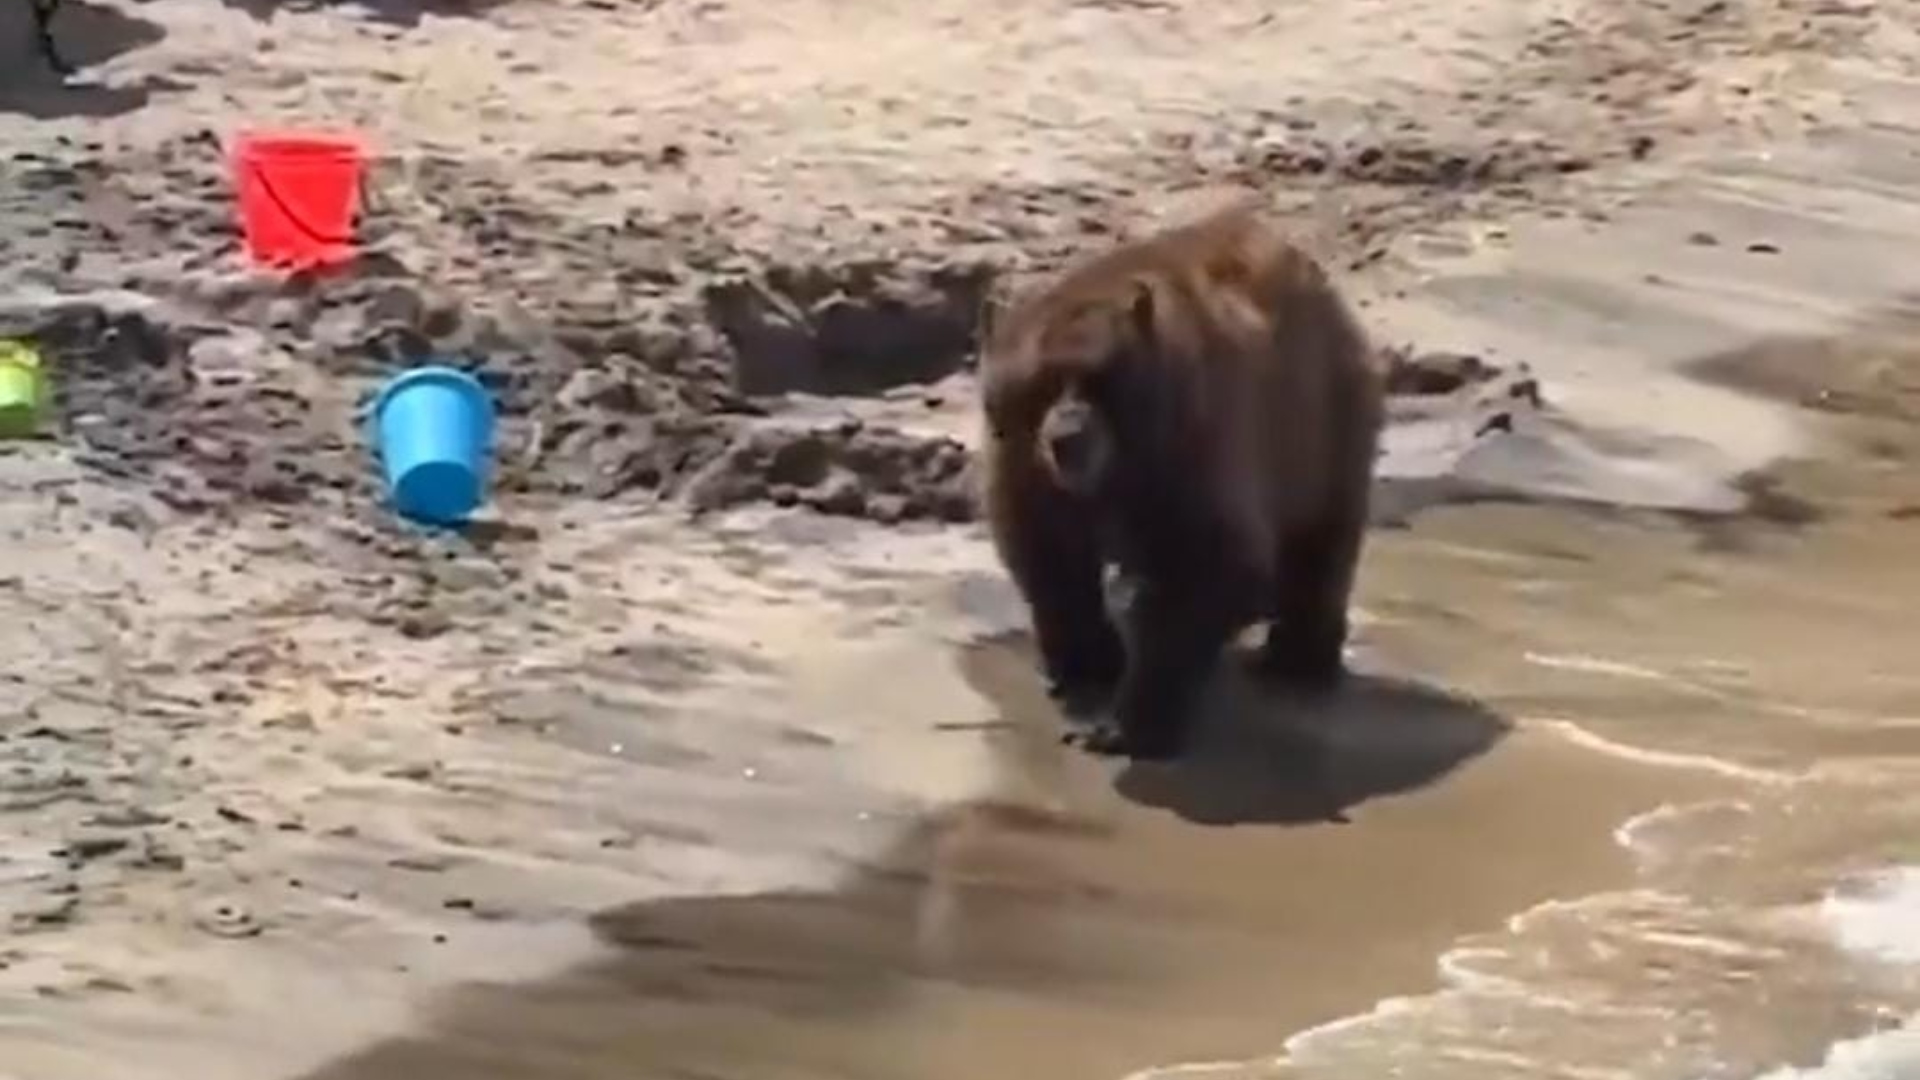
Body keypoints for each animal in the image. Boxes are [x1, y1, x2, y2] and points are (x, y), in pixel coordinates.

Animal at [976, 191, 1387, 759]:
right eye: (1043, 383)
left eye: (1100, 379)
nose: (1068, 438)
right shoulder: (1027, 467)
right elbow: (1047, 555)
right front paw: (1085, 667)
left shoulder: (1193, 447)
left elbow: (1211, 563)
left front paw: (1127, 722)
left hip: (1320, 423)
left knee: (1320, 543)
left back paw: (1297, 657)